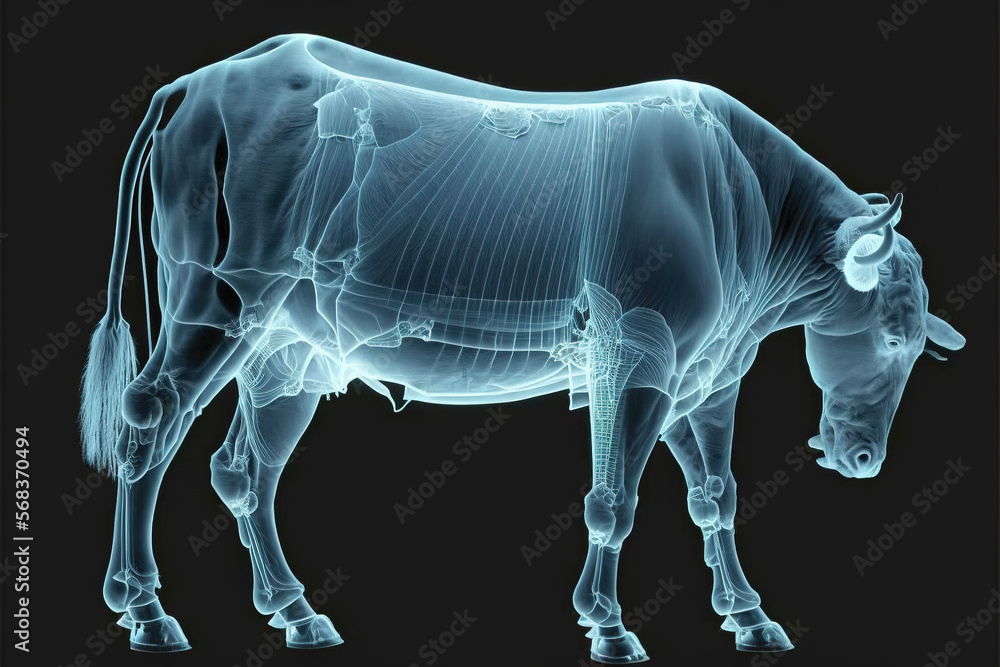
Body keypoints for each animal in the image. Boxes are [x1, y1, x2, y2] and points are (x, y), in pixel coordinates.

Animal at [79, 33, 965, 662]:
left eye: (919, 349)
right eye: (890, 335)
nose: (862, 459)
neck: (739, 201)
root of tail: (197, 83)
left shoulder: (707, 376)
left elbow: (717, 495)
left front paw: (750, 616)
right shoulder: (636, 350)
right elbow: (614, 498)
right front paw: (608, 626)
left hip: (289, 350)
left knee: (244, 467)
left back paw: (297, 610)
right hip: (219, 304)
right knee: (150, 422)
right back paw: (147, 609)